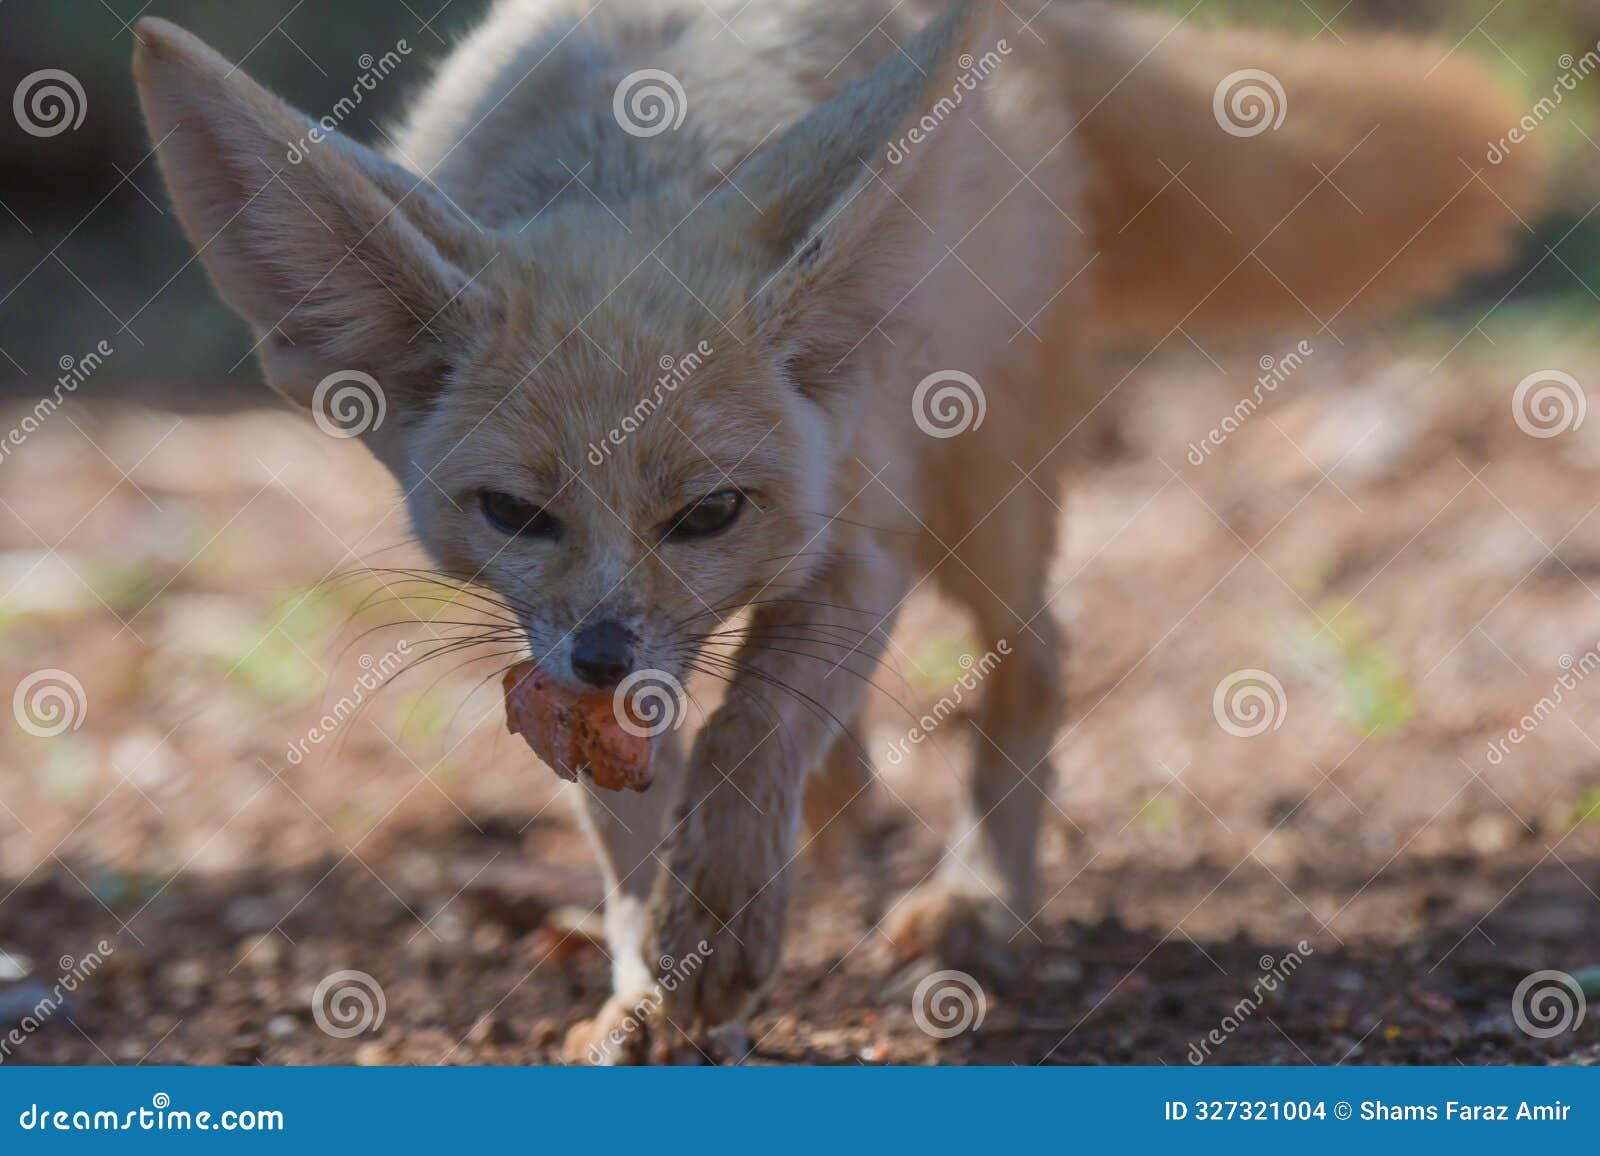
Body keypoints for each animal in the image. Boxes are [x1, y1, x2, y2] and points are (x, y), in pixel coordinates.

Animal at [131, 0, 1542, 1062]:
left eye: (707, 511)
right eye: (517, 514)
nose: (602, 657)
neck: (635, 159)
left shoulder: (853, 541)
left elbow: (751, 730)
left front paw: (716, 929)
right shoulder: (593, 661)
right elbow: (639, 821)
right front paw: (646, 976)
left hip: (981, 507)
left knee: (1036, 658)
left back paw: (979, 896)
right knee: (857, 738)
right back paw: (840, 816)